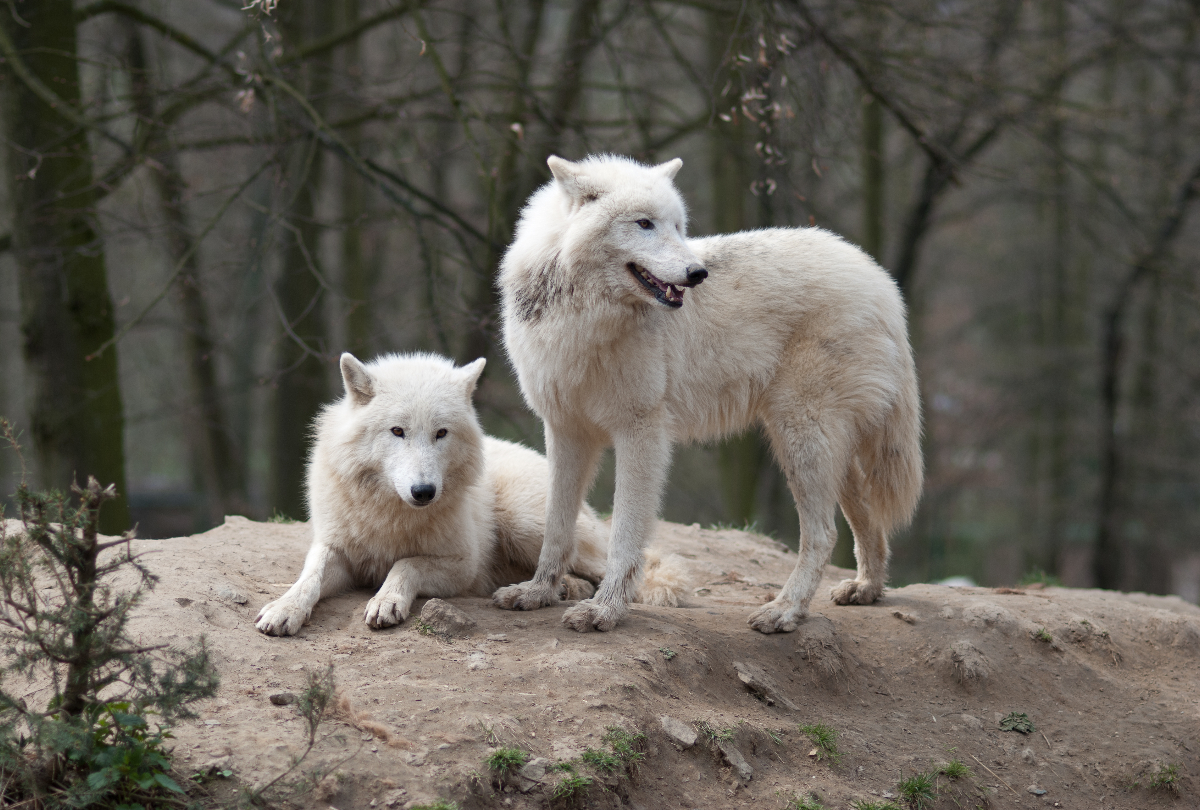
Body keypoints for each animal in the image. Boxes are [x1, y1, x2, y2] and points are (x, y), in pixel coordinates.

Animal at [255, 351, 687, 637]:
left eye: (441, 433)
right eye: (397, 431)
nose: (424, 491)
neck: (390, 515)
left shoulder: (463, 565)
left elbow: (405, 563)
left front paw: (386, 600)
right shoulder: (336, 549)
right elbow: (308, 577)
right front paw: (283, 610)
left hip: (523, 525)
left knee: (612, 567)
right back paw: (561, 589)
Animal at [492, 154, 923, 634]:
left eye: (679, 227)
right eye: (644, 223)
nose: (698, 273)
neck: (583, 317)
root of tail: (881, 281)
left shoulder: (642, 432)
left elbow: (624, 533)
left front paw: (605, 610)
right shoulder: (565, 431)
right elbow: (556, 526)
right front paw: (538, 592)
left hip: (800, 437)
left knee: (823, 534)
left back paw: (785, 610)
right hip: (827, 448)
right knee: (864, 521)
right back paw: (866, 588)